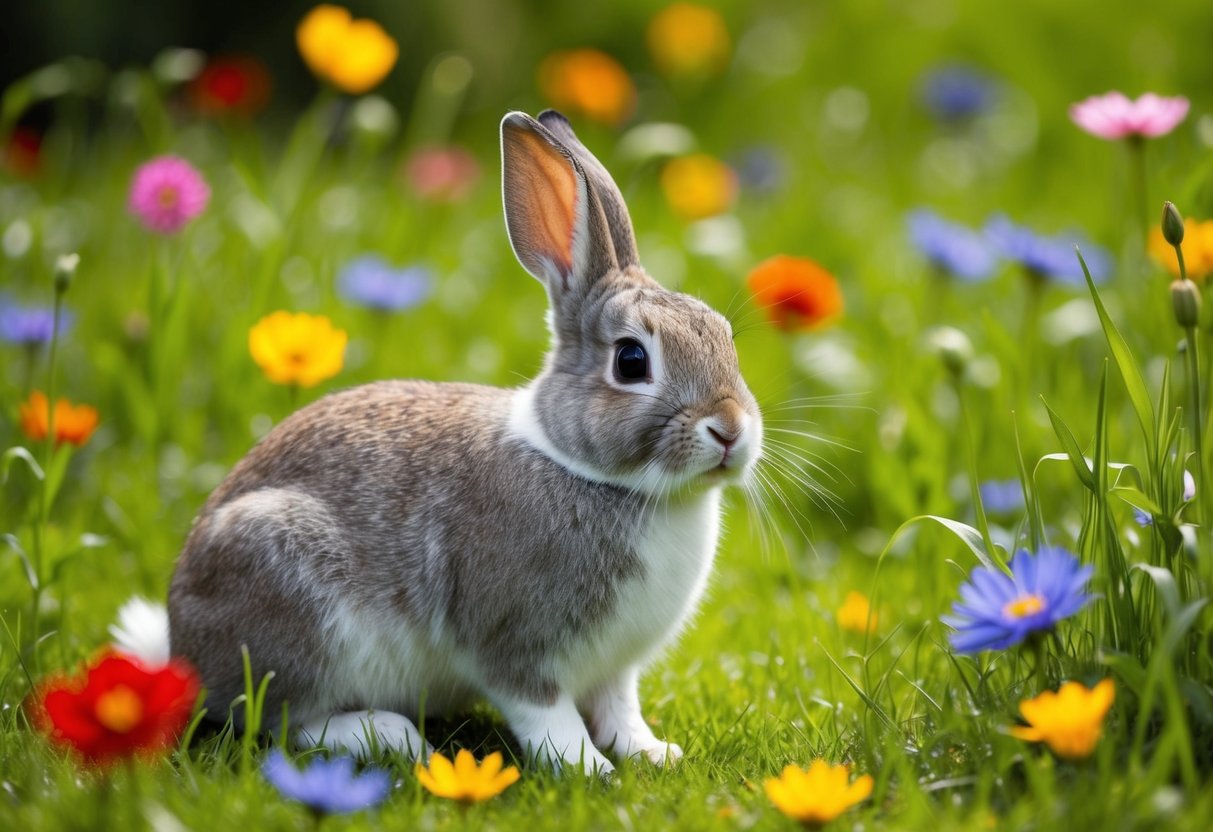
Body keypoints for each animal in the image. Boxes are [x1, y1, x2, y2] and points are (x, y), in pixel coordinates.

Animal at [123, 109, 763, 775]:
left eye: (724, 335)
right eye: (631, 361)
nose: (730, 428)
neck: (596, 474)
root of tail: (184, 650)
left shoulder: (615, 668)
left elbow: (619, 708)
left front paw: (652, 753)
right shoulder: (513, 643)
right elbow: (547, 714)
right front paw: (588, 768)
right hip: (296, 598)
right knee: (283, 722)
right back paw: (393, 737)